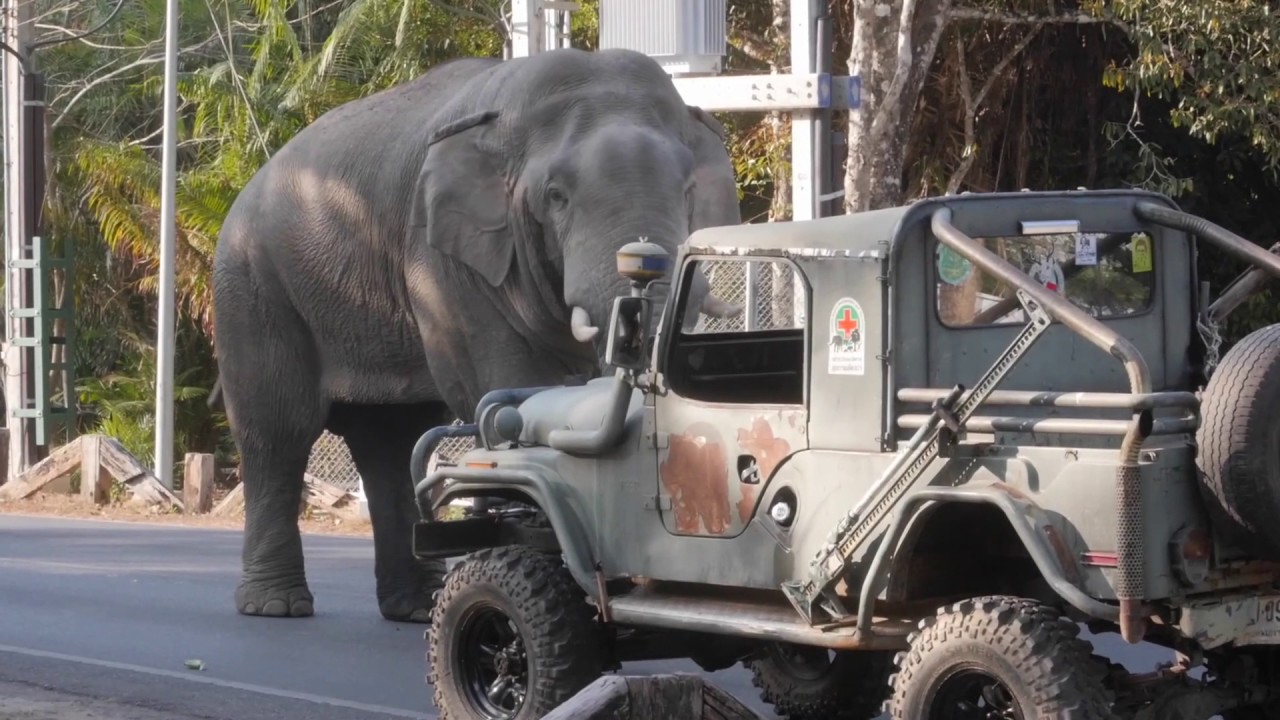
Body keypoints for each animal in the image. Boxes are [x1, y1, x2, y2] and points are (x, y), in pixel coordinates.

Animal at [210, 47, 744, 623]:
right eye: (556, 196)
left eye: (688, 192)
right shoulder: (443, 257)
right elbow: (500, 377)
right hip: (252, 287)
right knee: (279, 430)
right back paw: (277, 606)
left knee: (390, 442)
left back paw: (416, 608)